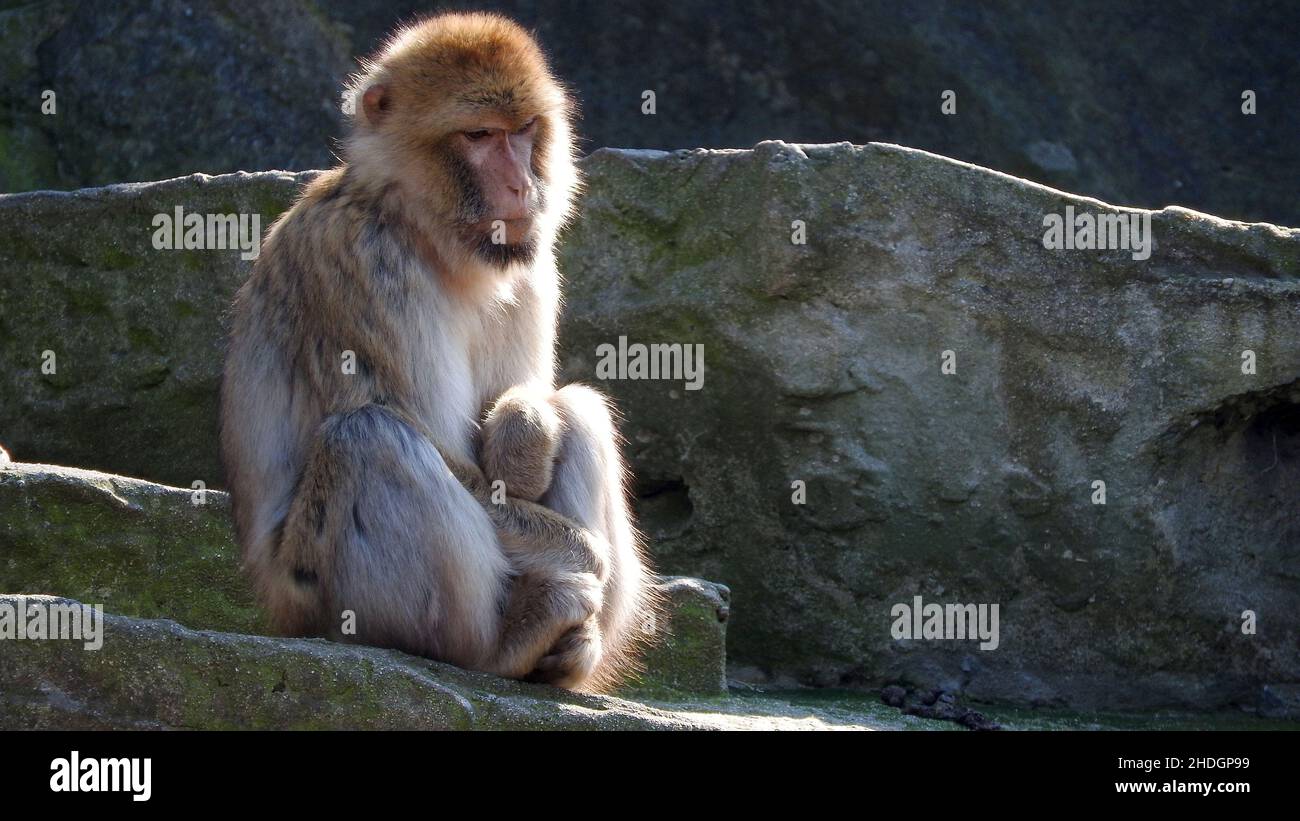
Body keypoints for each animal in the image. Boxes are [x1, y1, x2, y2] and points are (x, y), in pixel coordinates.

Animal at [219, 12, 656, 691]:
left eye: (524, 130)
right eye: (479, 135)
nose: (521, 184)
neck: (429, 235)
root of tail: (275, 613)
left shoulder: (531, 267)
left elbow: (526, 408)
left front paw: (523, 431)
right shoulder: (360, 260)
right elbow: (439, 445)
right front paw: (585, 554)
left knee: (580, 410)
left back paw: (565, 656)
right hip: (317, 597)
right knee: (367, 436)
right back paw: (505, 644)